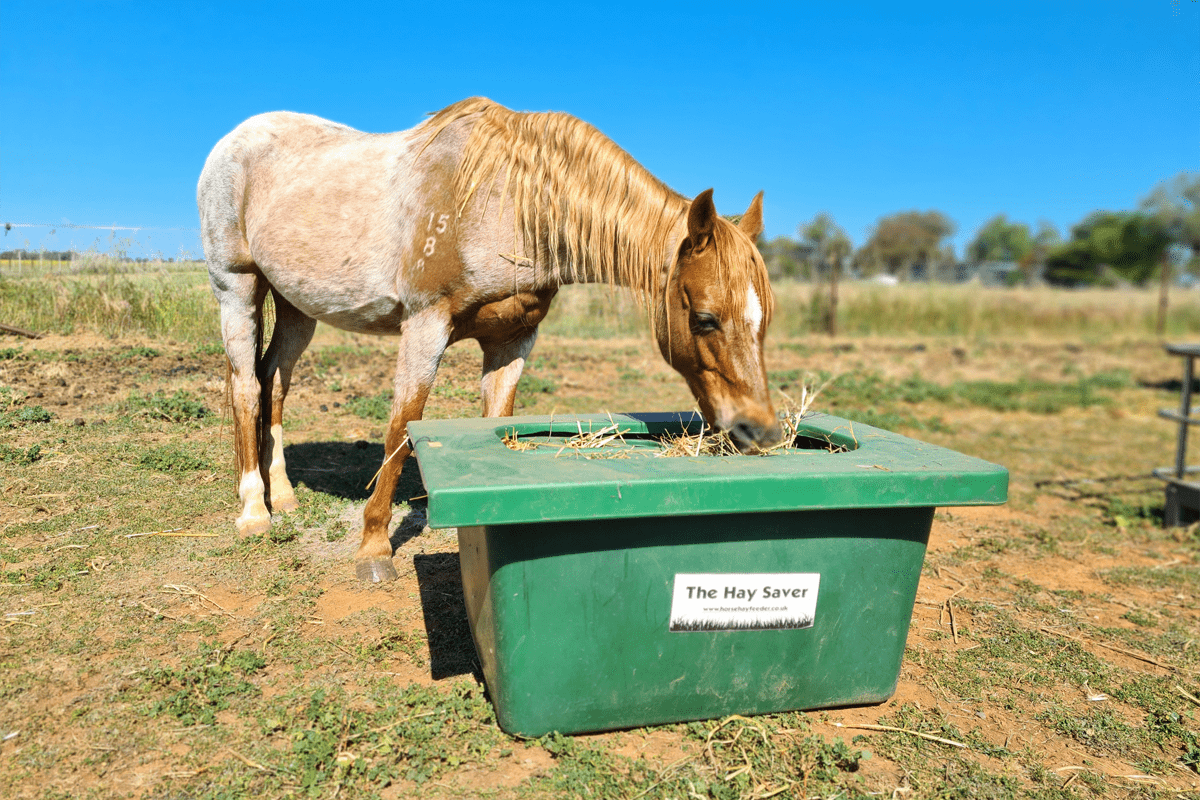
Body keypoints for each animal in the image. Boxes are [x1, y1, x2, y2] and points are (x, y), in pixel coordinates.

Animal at [198, 97, 783, 583]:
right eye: (705, 318)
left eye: (765, 321)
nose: (761, 431)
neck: (509, 202)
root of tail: (234, 139)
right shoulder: (424, 327)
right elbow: (399, 431)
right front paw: (373, 548)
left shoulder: (512, 341)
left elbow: (497, 424)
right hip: (237, 288)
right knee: (246, 387)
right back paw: (253, 510)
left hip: (297, 307)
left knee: (274, 381)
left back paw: (283, 495)